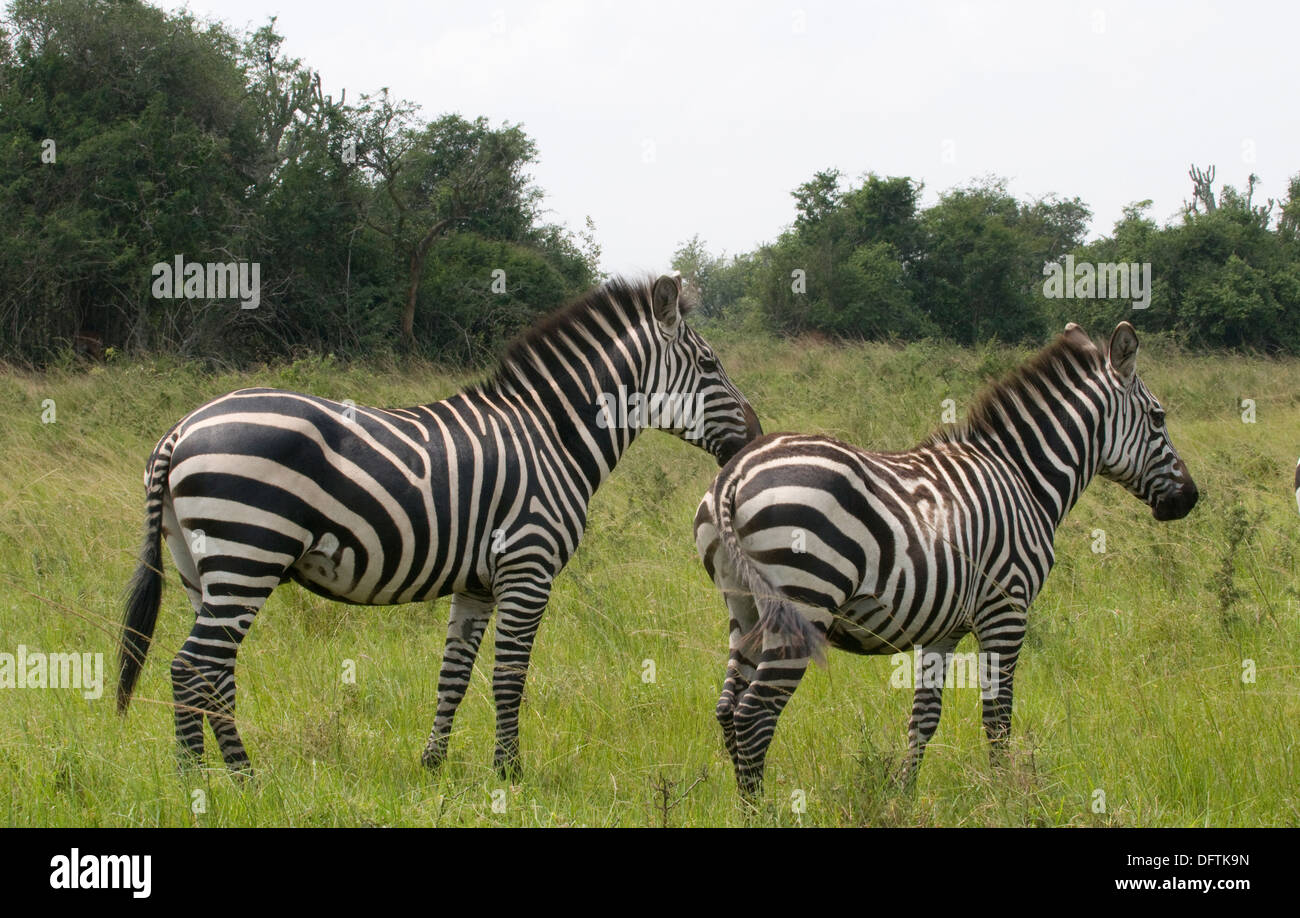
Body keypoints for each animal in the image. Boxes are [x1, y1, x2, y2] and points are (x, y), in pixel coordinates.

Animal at [117, 273, 761, 777]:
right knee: (191, 668)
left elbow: (453, 675)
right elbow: (509, 677)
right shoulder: (528, 567)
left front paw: (433, 764)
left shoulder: (477, 584)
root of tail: (181, 428)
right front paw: (510, 773)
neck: (553, 436)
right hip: (247, 553)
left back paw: (229, 776)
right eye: (710, 364)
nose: (755, 434)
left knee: (214, 671)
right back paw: (209, 783)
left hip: (202, 567)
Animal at [694, 321, 1198, 796]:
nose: (1190, 499)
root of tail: (735, 475)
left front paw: (903, 796)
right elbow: (998, 715)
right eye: (1158, 417)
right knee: (754, 716)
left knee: (727, 709)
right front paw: (1006, 797)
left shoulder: (942, 627)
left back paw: (747, 807)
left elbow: (924, 718)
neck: (1024, 478)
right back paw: (762, 810)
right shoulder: (1006, 609)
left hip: (745, 608)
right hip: (803, 602)